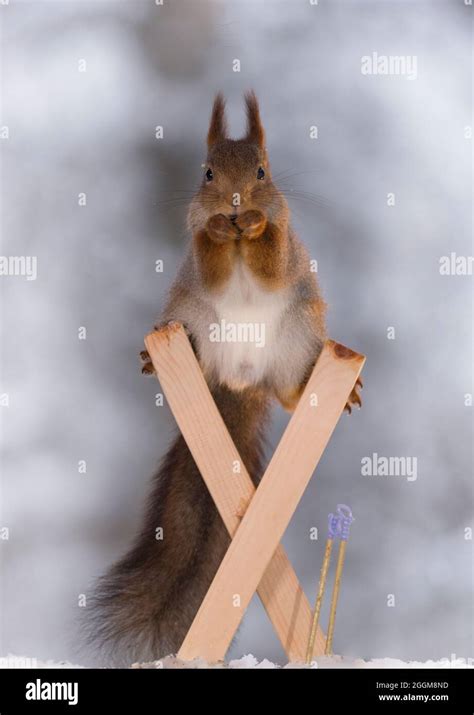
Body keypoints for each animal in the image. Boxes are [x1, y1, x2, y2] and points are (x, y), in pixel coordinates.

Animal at [87, 92, 362, 664]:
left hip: (299, 336)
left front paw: (255, 224)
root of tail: (240, 382)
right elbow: (208, 257)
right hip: (189, 315)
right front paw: (218, 230)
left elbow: (272, 258)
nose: (234, 206)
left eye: (262, 171)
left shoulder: (283, 244)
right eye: (208, 172)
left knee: (289, 394)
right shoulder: (198, 252)